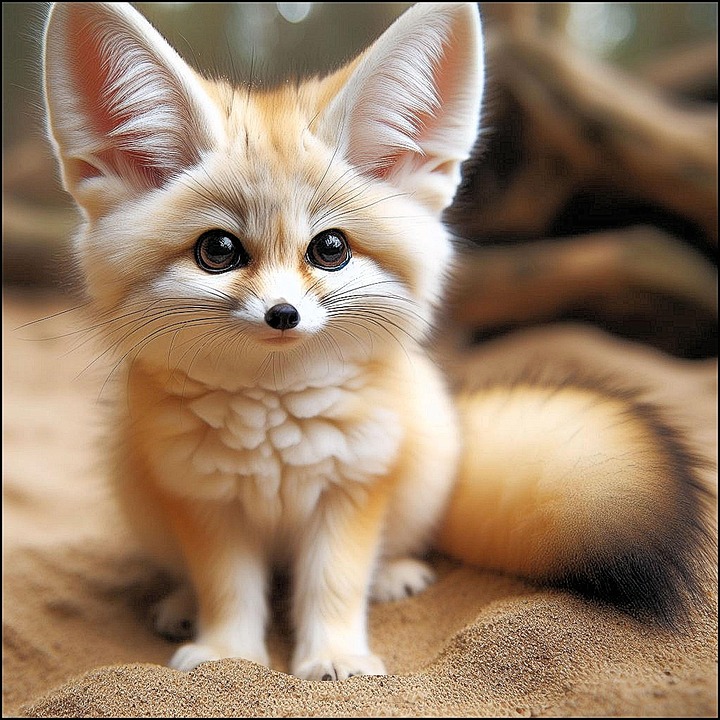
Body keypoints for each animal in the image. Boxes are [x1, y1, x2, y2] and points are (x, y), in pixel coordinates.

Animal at [43, 2, 714, 681]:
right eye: (219, 250)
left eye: (330, 248)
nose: (282, 314)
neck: (274, 425)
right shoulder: (206, 501)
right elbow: (227, 588)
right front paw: (228, 657)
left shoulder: (355, 488)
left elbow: (334, 585)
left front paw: (334, 657)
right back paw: (181, 603)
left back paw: (392, 575)